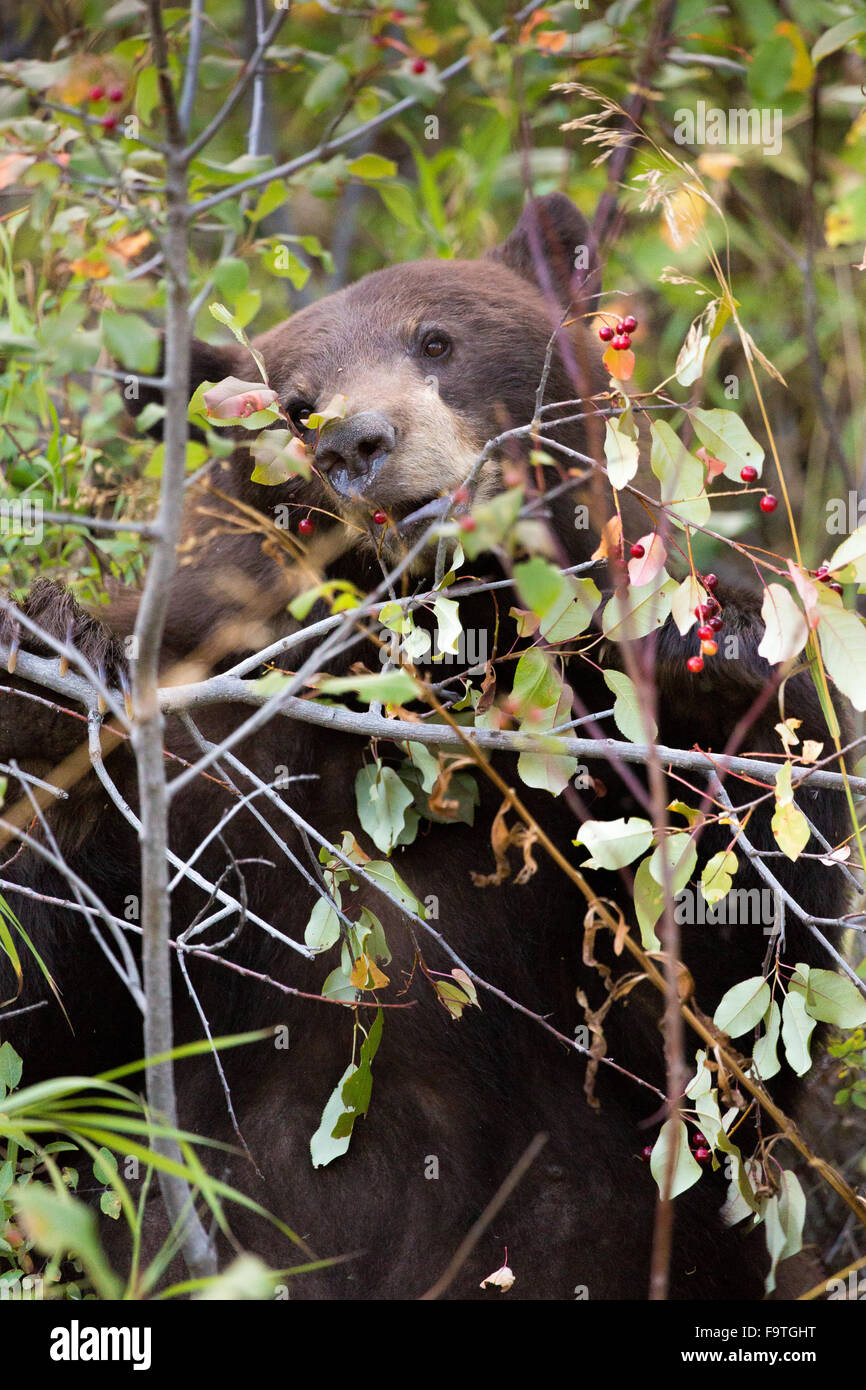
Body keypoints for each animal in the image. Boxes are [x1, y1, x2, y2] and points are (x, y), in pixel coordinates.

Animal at [0, 192, 849, 1300]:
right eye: (296, 405)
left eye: (436, 340)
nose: (358, 442)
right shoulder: (218, 752)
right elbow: (57, 1023)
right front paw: (52, 665)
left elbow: (731, 1022)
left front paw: (724, 648)